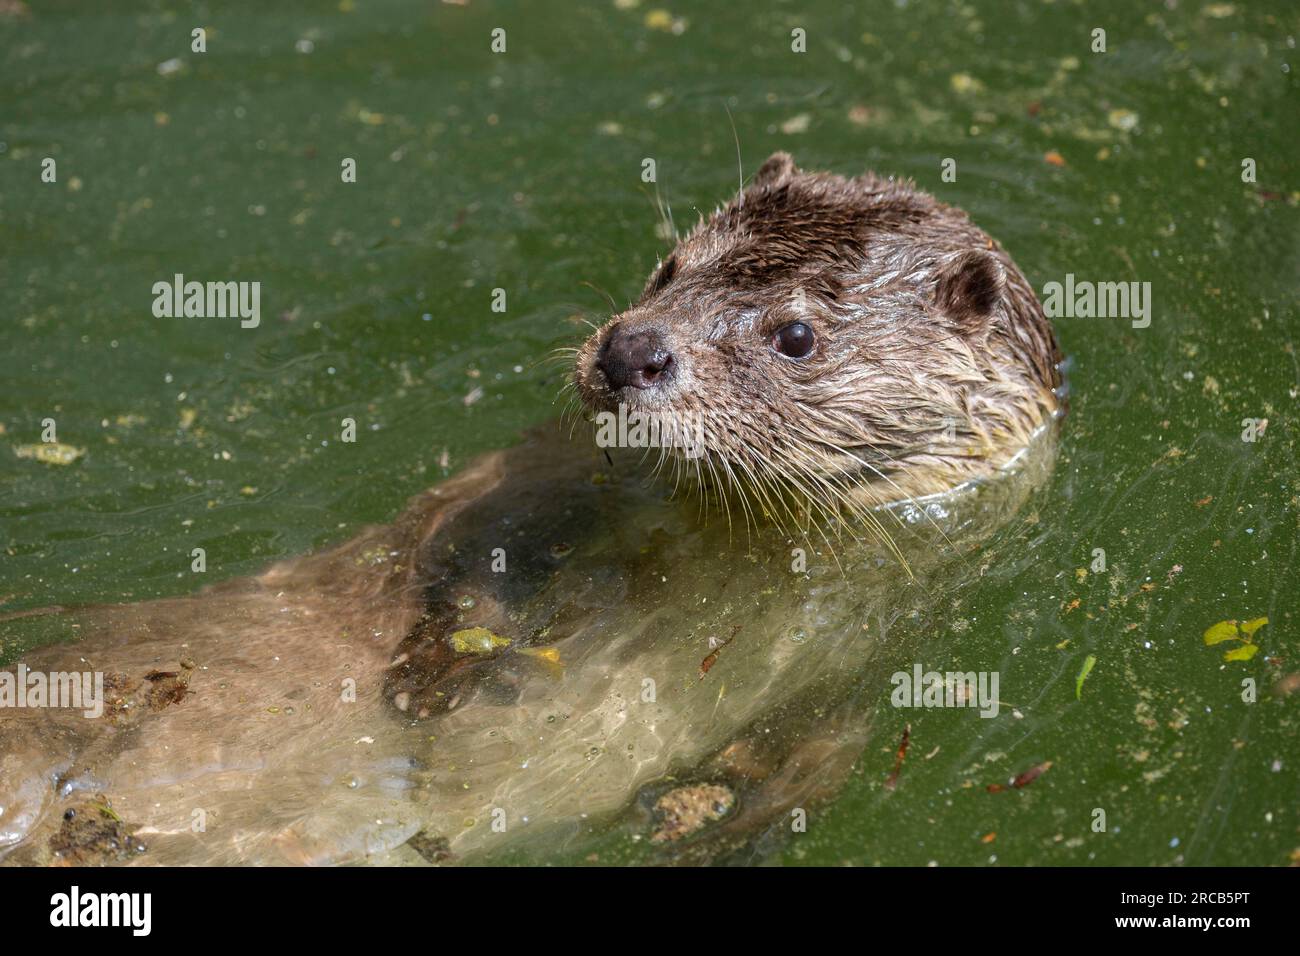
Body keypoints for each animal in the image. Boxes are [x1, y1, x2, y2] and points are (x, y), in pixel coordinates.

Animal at [0, 153, 1062, 866]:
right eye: (670, 267)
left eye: (795, 335)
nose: (633, 349)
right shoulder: (509, 483)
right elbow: (453, 555)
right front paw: (431, 680)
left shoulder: (868, 649)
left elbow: (814, 758)